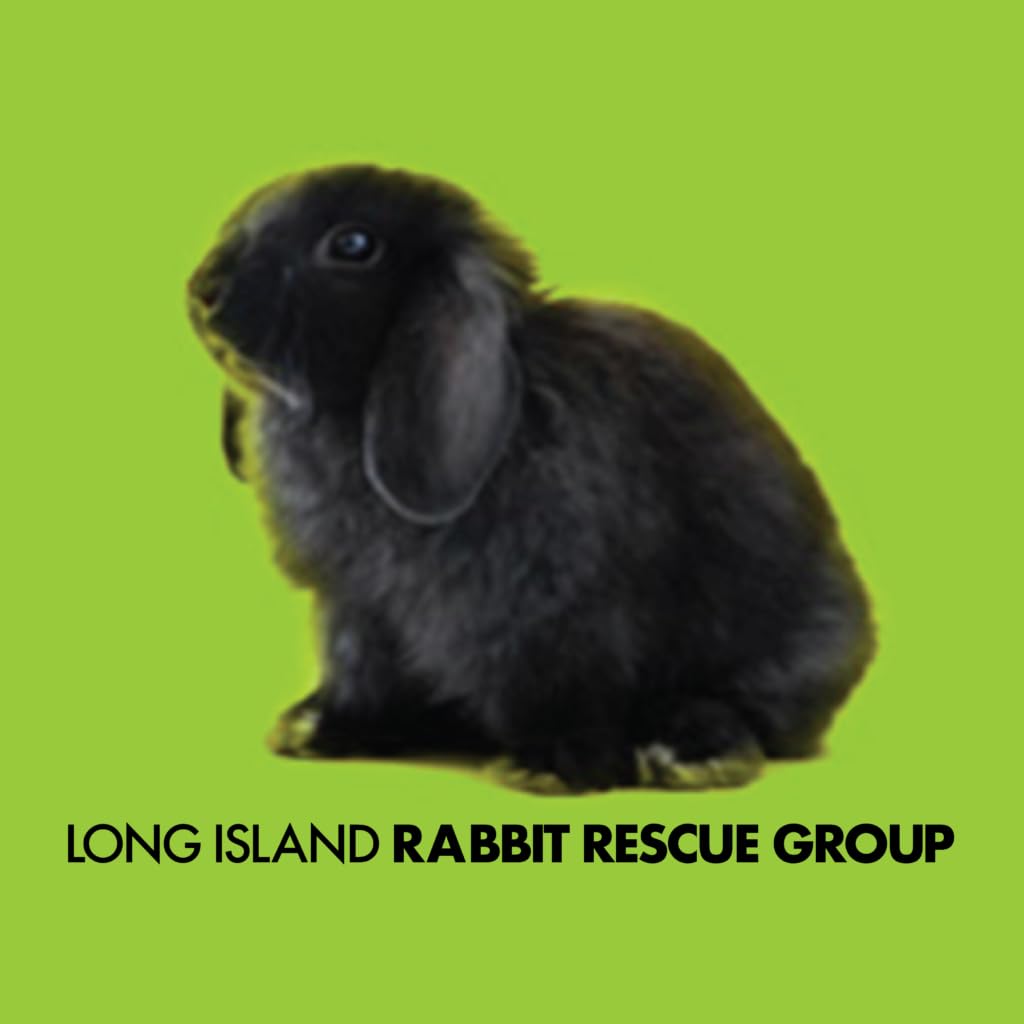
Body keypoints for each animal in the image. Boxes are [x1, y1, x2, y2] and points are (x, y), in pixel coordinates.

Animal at [186, 164, 875, 793]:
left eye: (352, 245)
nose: (202, 291)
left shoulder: (555, 607)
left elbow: (562, 679)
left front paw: (550, 767)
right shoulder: (356, 601)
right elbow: (358, 668)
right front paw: (316, 729)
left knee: (749, 707)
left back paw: (692, 751)